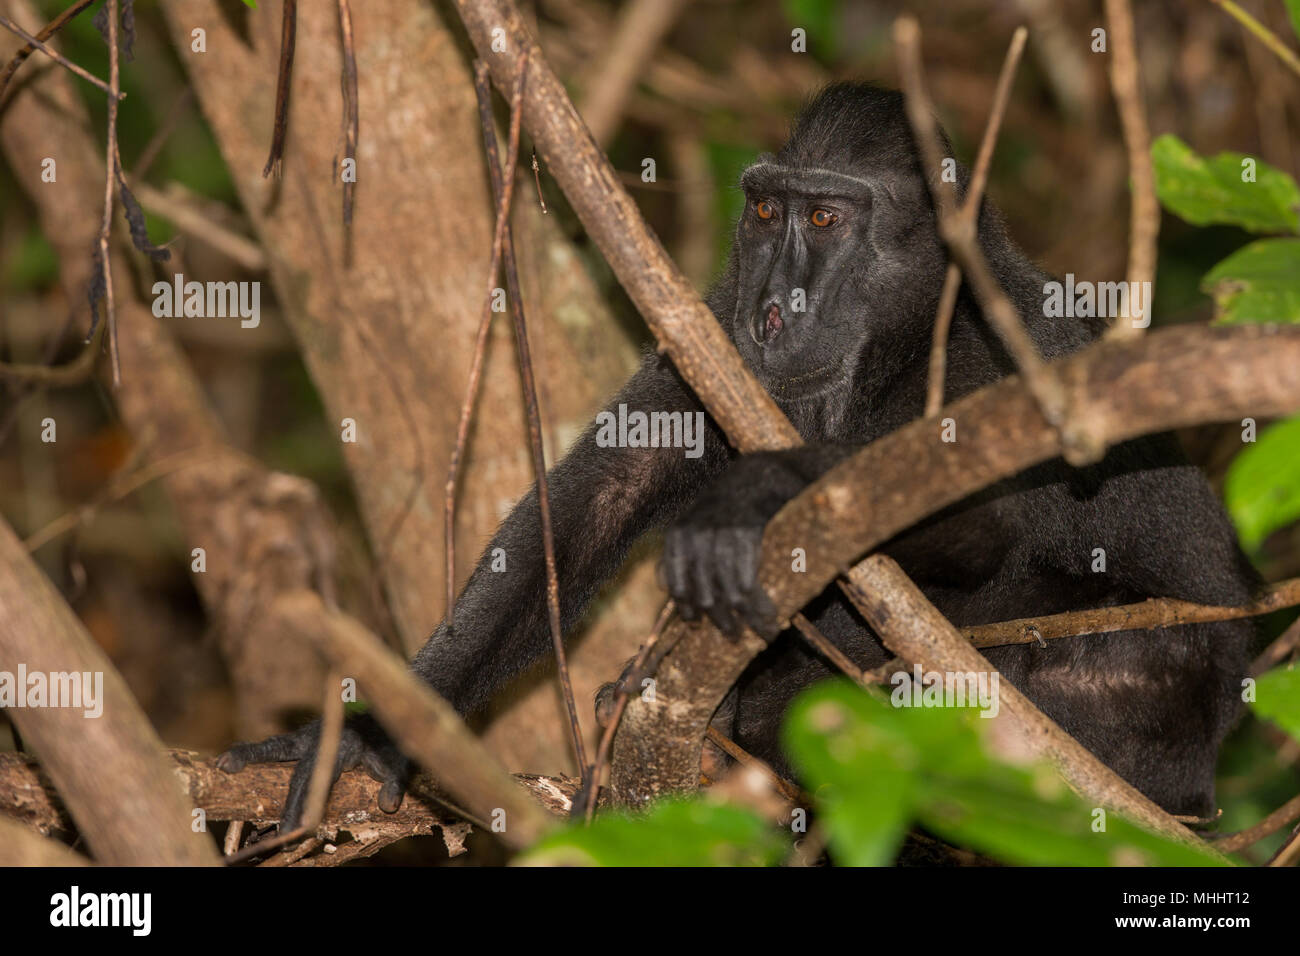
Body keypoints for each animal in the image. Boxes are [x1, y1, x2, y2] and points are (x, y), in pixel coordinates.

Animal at [218, 83, 1257, 829]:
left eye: (828, 219)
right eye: (763, 212)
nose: (774, 310)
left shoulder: (985, 359)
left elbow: (982, 533)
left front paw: (755, 494)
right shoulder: (709, 327)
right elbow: (599, 496)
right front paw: (367, 737)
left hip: (1133, 716)